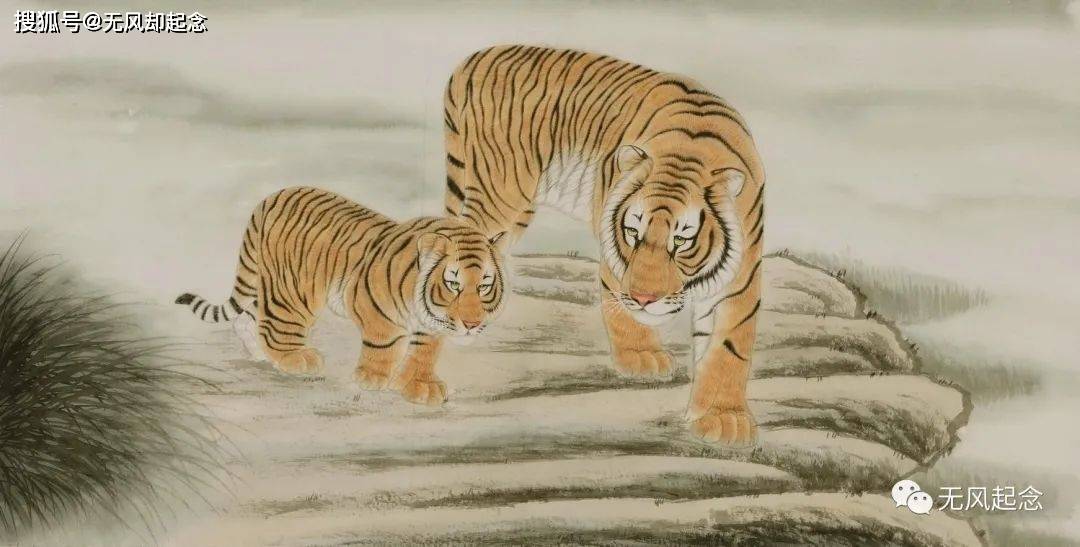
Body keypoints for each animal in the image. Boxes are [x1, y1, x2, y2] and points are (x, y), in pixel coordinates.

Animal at [176, 186, 507, 406]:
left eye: (484, 285)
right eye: (453, 283)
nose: (471, 324)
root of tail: (271, 198)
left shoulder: (430, 326)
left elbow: (423, 353)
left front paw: (420, 386)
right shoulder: (373, 307)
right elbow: (384, 344)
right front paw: (372, 378)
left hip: (270, 283)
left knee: (248, 316)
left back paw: (259, 352)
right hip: (294, 291)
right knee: (276, 324)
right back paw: (297, 358)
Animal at [442, 45, 765, 444]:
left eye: (682, 239)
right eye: (633, 233)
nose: (645, 299)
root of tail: (474, 58)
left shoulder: (740, 277)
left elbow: (729, 346)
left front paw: (723, 417)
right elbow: (616, 296)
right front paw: (642, 356)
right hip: (501, 191)